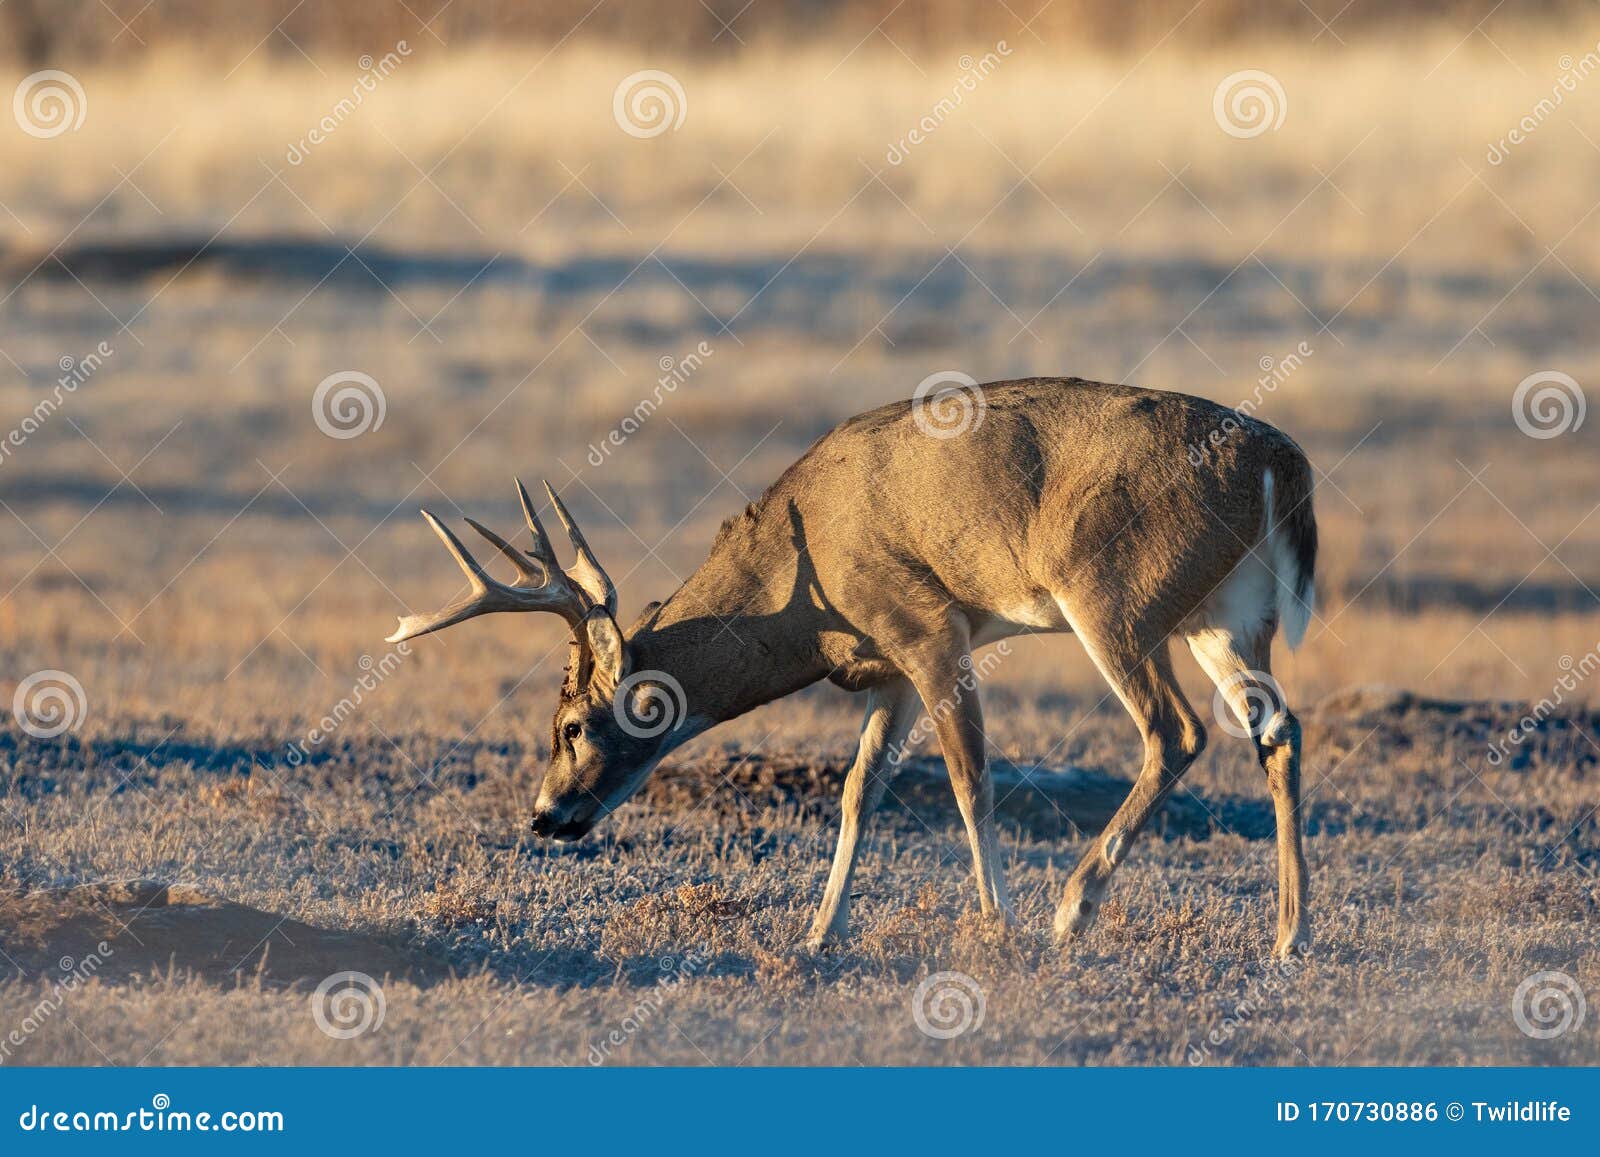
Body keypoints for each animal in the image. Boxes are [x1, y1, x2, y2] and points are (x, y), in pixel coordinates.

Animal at [387, 377, 1317, 960]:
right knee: (1277, 725)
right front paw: (817, 932)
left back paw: (1071, 909)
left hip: (1112, 595)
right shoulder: (890, 668)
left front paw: (998, 926)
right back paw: (1287, 936)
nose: (545, 815)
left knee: (1177, 730)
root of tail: (1280, 461)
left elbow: (970, 779)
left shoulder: (931, 627)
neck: (803, 585)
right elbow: (858, 788)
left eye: (573, 724)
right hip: (1227, 615)